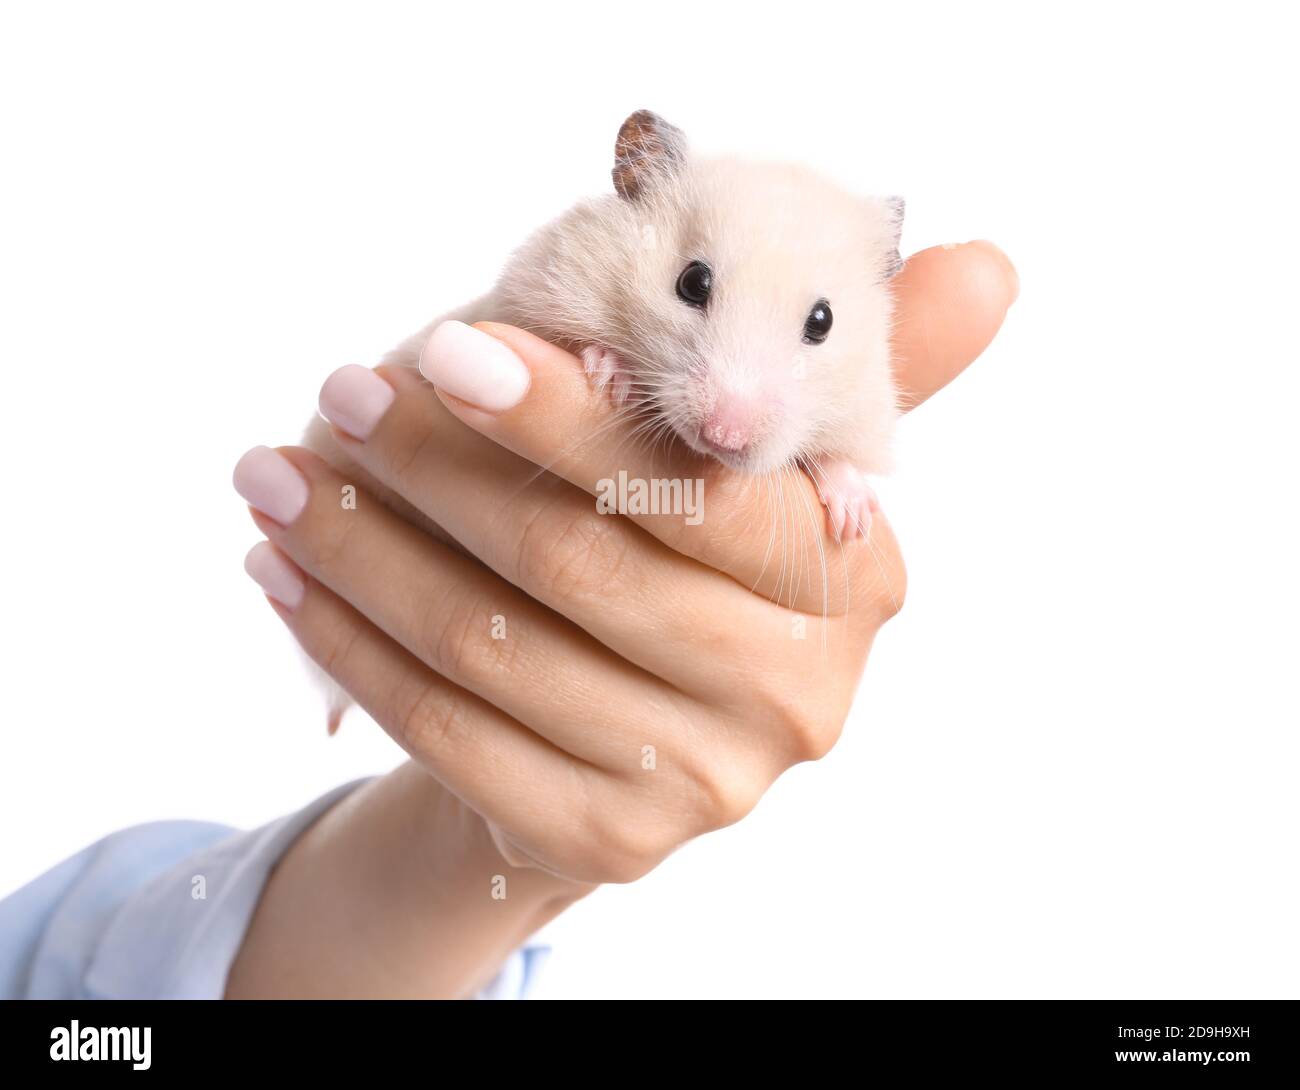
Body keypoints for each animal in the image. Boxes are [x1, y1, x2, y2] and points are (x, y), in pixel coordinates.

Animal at [304, 110, 904, 730]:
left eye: (822, 321)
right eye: (692, 282)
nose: (723, 436)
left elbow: (840, 456)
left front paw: (852, 519)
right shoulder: (524, 299)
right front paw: (610, 375)